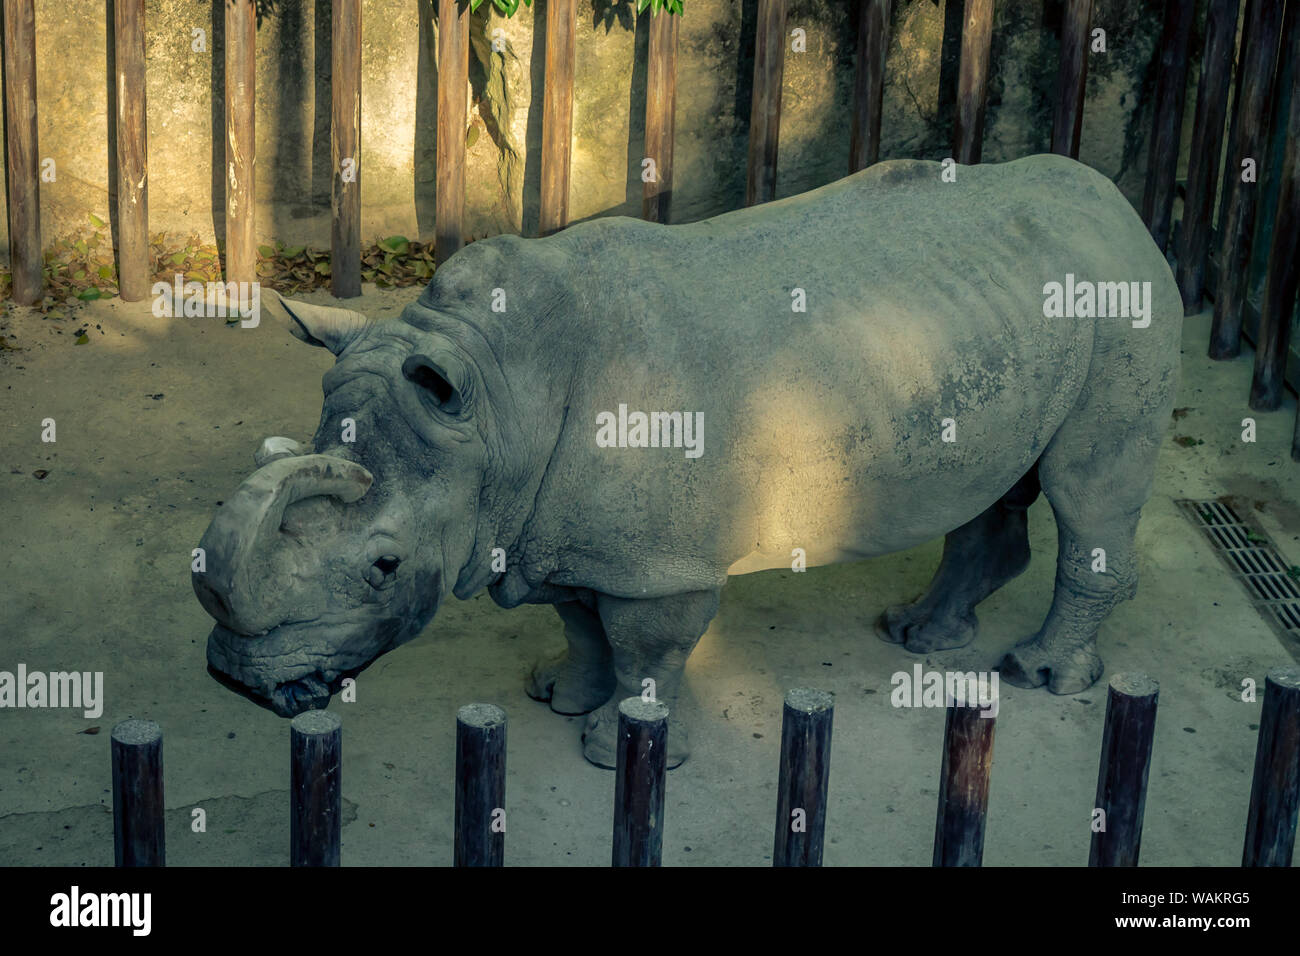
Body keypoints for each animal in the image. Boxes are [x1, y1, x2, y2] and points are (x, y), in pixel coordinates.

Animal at [194, 154, 1179, 768]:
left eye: (385, 566)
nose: (233, 680)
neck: (499, 405)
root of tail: (1126, 208)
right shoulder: (559, 527)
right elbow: (581, 622)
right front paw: (559, 695)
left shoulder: (655, 563)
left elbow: (649, 648)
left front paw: (616, 748)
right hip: (990, 324)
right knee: (995, 483)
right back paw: (919, 636)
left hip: (1119, 305)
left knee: (1087, 489)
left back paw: (1040, 676)